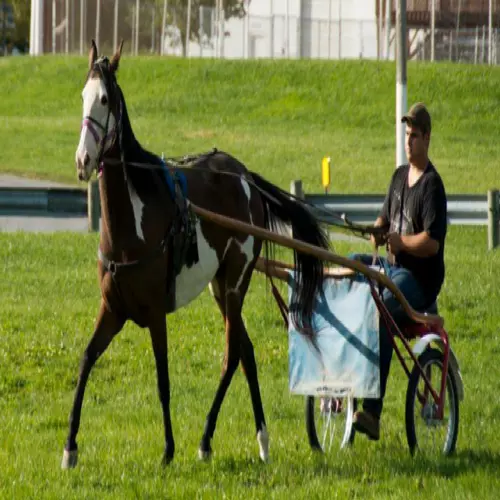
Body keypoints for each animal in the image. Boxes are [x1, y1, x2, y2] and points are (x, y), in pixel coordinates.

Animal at [60, 42, 330, 468]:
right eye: (83, 96)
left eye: (104, 99)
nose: (83, 161)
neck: (132, 224)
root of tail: (246, 177)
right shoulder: (112, 309)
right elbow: (86, 360)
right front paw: (70, 447)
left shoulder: (155, 314)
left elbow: (162, 379)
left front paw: (168, 449)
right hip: (219, 286)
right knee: (245, 351)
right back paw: (261, 439)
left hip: (235, 282)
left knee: (232, 354)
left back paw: (207, 439)